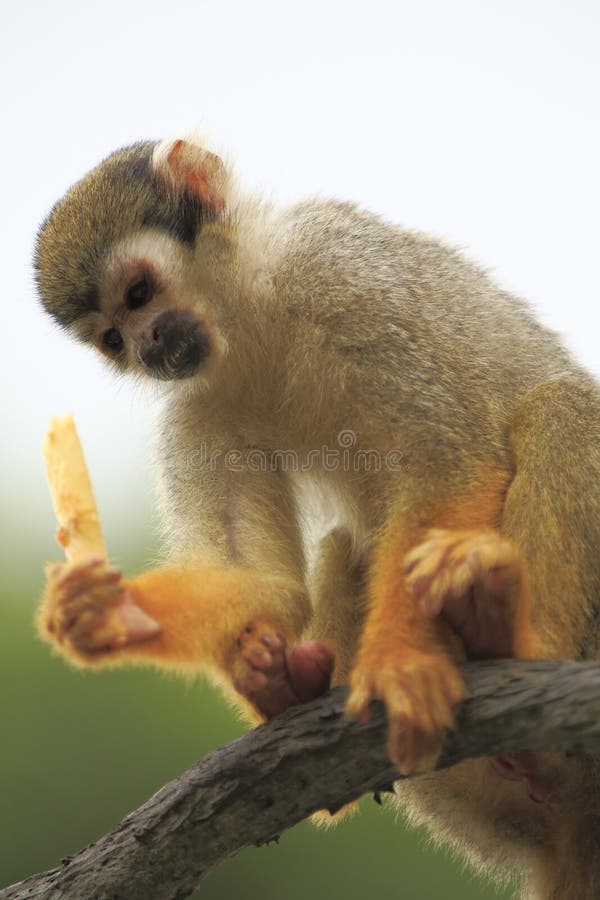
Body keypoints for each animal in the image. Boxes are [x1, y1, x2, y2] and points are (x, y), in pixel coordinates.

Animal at [34, 134, 600, 899]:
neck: (251, 314)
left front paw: (401, 662)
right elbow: (269, 585)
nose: (148, 346)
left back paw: (511, 636)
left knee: (564, 409)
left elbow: (448, 456)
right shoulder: (196, 404)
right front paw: (111, 610)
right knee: (345, 544)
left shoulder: (338, 273)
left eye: (140, 293)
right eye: (112, 340)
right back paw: (291, 688)